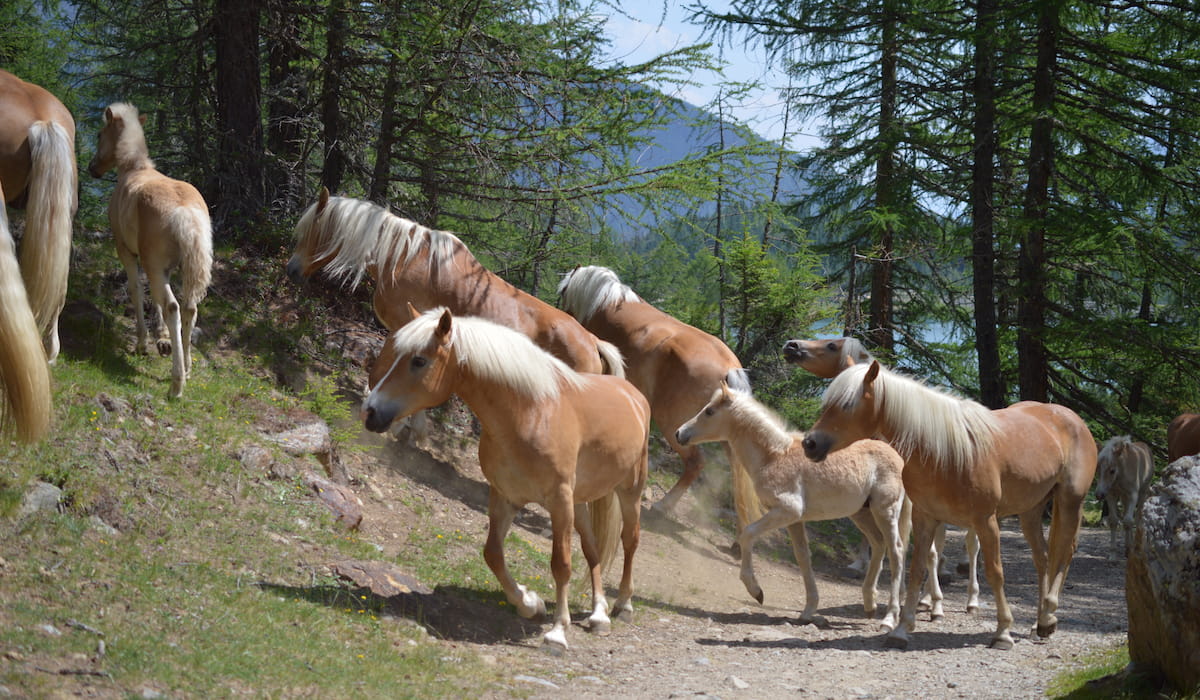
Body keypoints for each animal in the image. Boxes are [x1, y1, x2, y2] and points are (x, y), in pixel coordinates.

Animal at [88, 103, 213, 399]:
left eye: (99, 134)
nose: (92, 168)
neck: (134, 169)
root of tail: (185, 213)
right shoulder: (161, 268)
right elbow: (153, 299)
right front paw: (162, 339)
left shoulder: (127, 252)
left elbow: (136, 290)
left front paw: (143, 343)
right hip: (181, 269)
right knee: (189, 308)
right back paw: (187, 368)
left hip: (155, 266)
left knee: (173, 307)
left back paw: (176, 384)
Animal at [361, 305, 650, 651]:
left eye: (419, 361)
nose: (370, 412)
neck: (531, 413)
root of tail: (633, 395)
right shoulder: (505, 496)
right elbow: (493, 554)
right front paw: (529, 603)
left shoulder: (558, 501)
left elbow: (561, 564)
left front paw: (557, 632)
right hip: (579, 502)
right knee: (593, 549)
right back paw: (598, 614)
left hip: (629, 491)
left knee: (630, 542)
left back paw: (623, 605)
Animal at [556, 265, 761, 533]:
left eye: (563, 292)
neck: (605, 302)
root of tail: (729, 368)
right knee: (739, 473)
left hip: (674, 425)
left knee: (695, 463)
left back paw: (663, 507)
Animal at [676, 382, 905, 630]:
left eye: (709, 411)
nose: (679, 433)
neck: (773, 456)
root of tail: (897, 456)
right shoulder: (795, 519)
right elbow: (803, 557)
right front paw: (808, 611)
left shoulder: (788, 510)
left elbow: (747, 534)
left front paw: (756, 591)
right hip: (860, 513)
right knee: (878, 544)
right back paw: (869, 604)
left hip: (885, 510)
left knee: (896, 551)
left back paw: (890, 618)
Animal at [801, 361, 1097, 650]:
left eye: (847, 404)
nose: (809, 443)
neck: (946, 453)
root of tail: (1070, 418)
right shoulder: (925, 518)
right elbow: (917, 569)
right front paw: (901, 629)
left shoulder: (985, 521)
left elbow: (994, 572)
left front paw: (1002, 632)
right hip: (1030, 510)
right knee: (1043, 558)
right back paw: (1040, 622)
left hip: (1070, 501)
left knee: (1064, 553)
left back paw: (1048, 616)